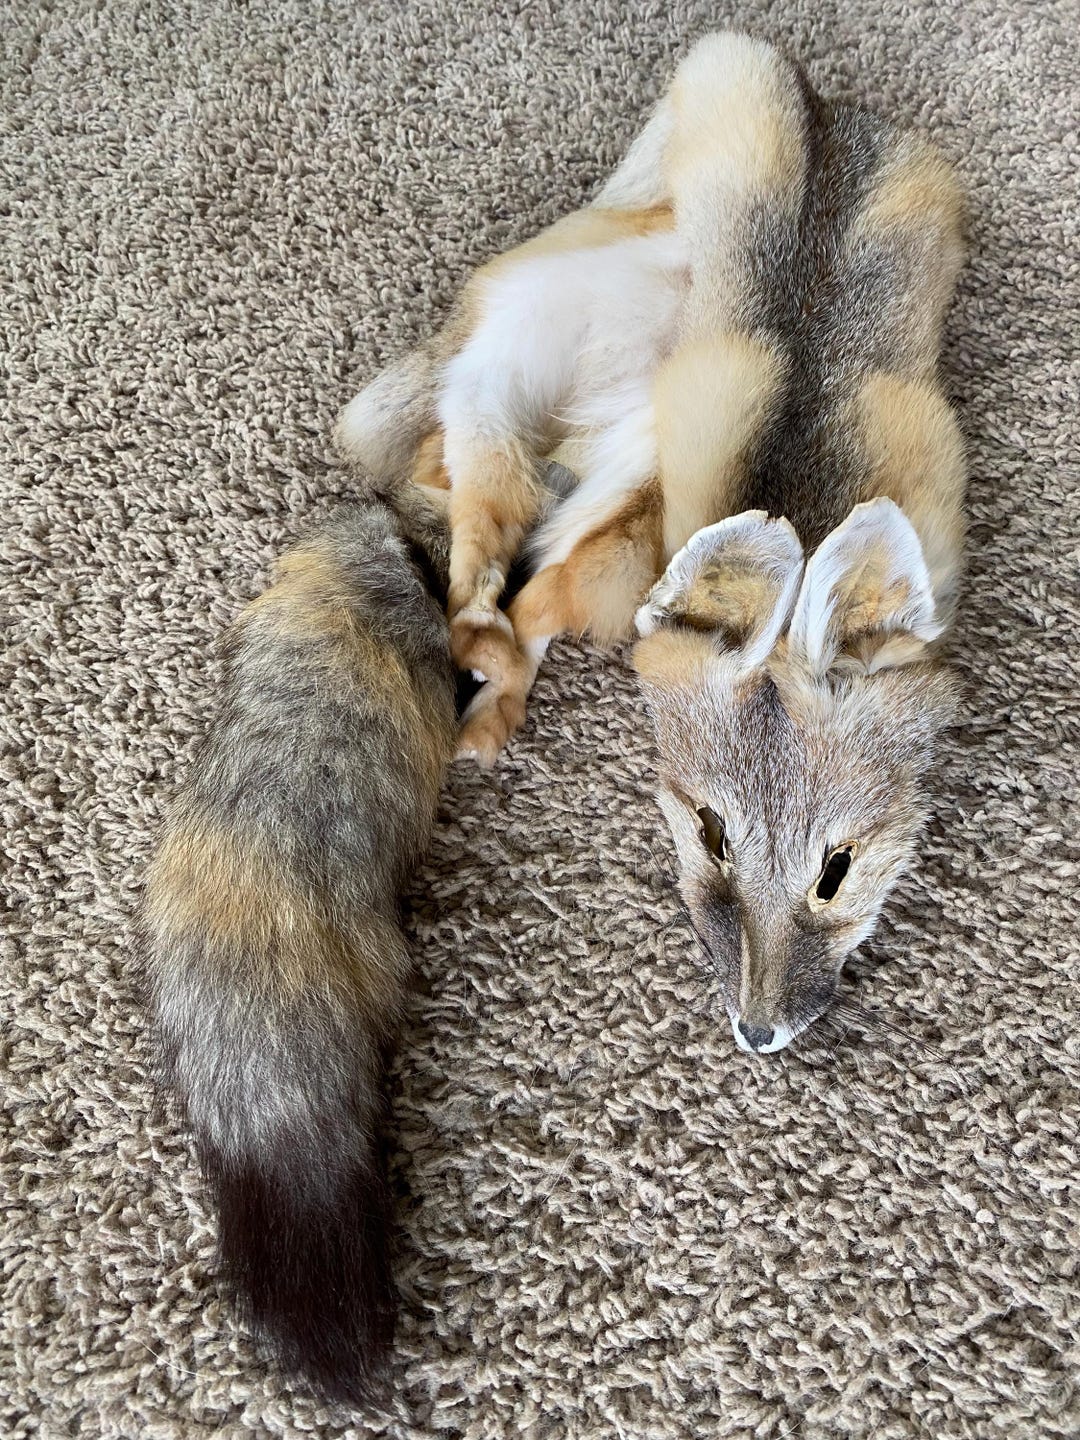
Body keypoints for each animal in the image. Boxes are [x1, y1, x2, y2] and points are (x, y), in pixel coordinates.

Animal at [338, 32, 967, 1055]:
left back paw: (488, 680)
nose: (757, 1034)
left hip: (604, 481)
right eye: (711, 836)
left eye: (834, 872)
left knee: (506, 580)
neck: (803, 499)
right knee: (494, 560)